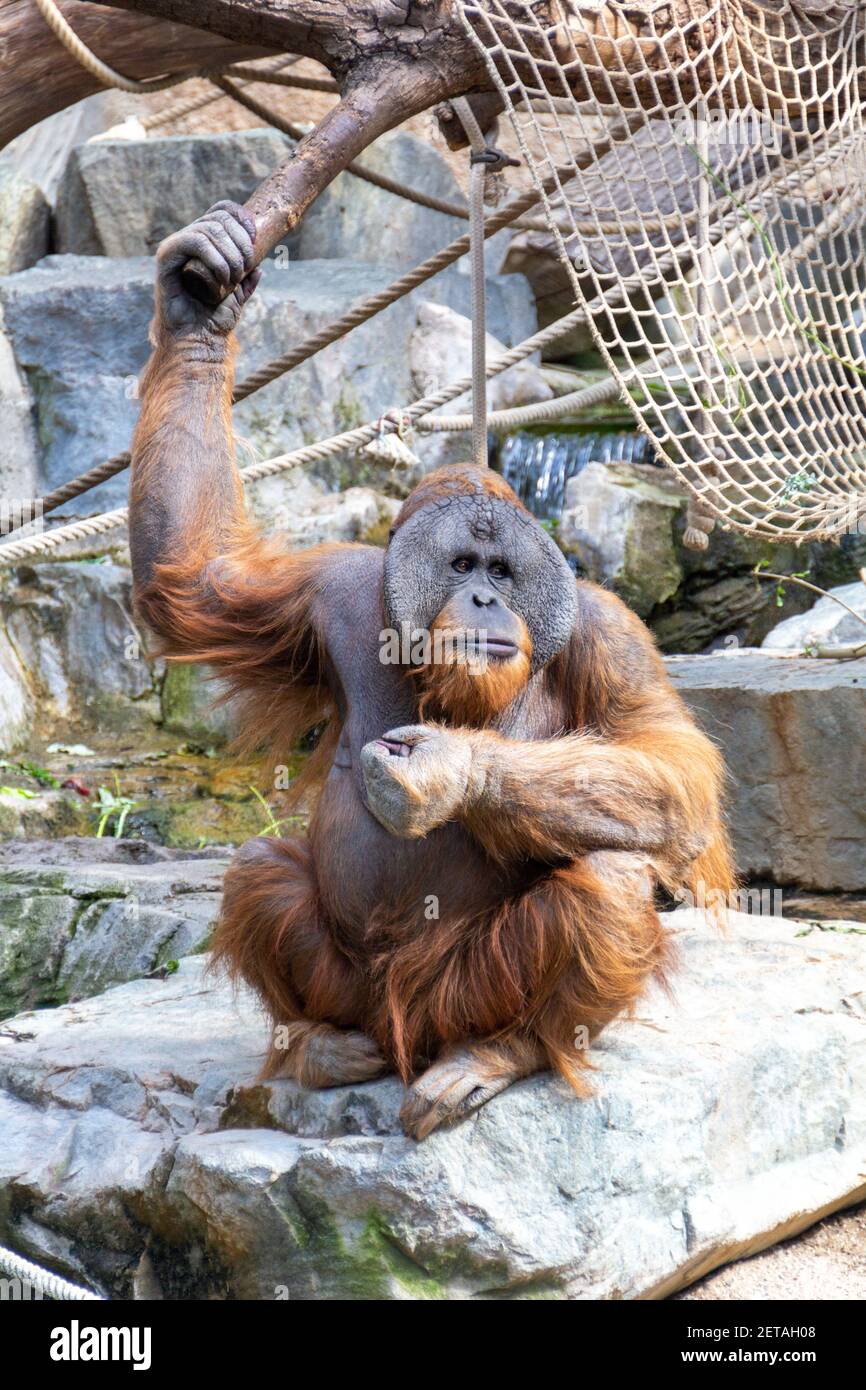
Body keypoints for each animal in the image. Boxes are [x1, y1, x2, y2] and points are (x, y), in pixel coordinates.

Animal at [129, 202, 734, 1140]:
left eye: (505, 571)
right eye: (459, 566)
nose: (484, 600)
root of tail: (399, 1027)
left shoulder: (613, 633)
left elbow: (674, 772)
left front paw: (446, 771)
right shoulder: (325, 589)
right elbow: (193, 582)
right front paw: (198, 303)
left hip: (458, 994)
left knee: (607, 877)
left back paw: (504, 1055)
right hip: (357, 988)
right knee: (258, 866)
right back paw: (319, 1046)